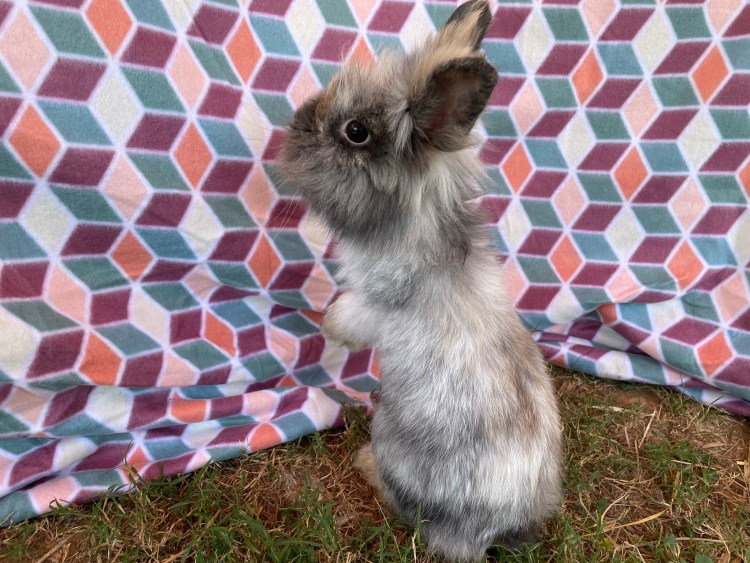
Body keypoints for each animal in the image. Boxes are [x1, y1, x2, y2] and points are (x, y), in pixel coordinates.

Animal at [280, 1, 563, 560]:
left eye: (356, 132)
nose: (294, 126)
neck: (420, 224)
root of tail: (482, 531)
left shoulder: (378, 299)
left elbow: (352, 315)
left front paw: (329, 326)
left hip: (393, 437)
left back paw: (366, 464)